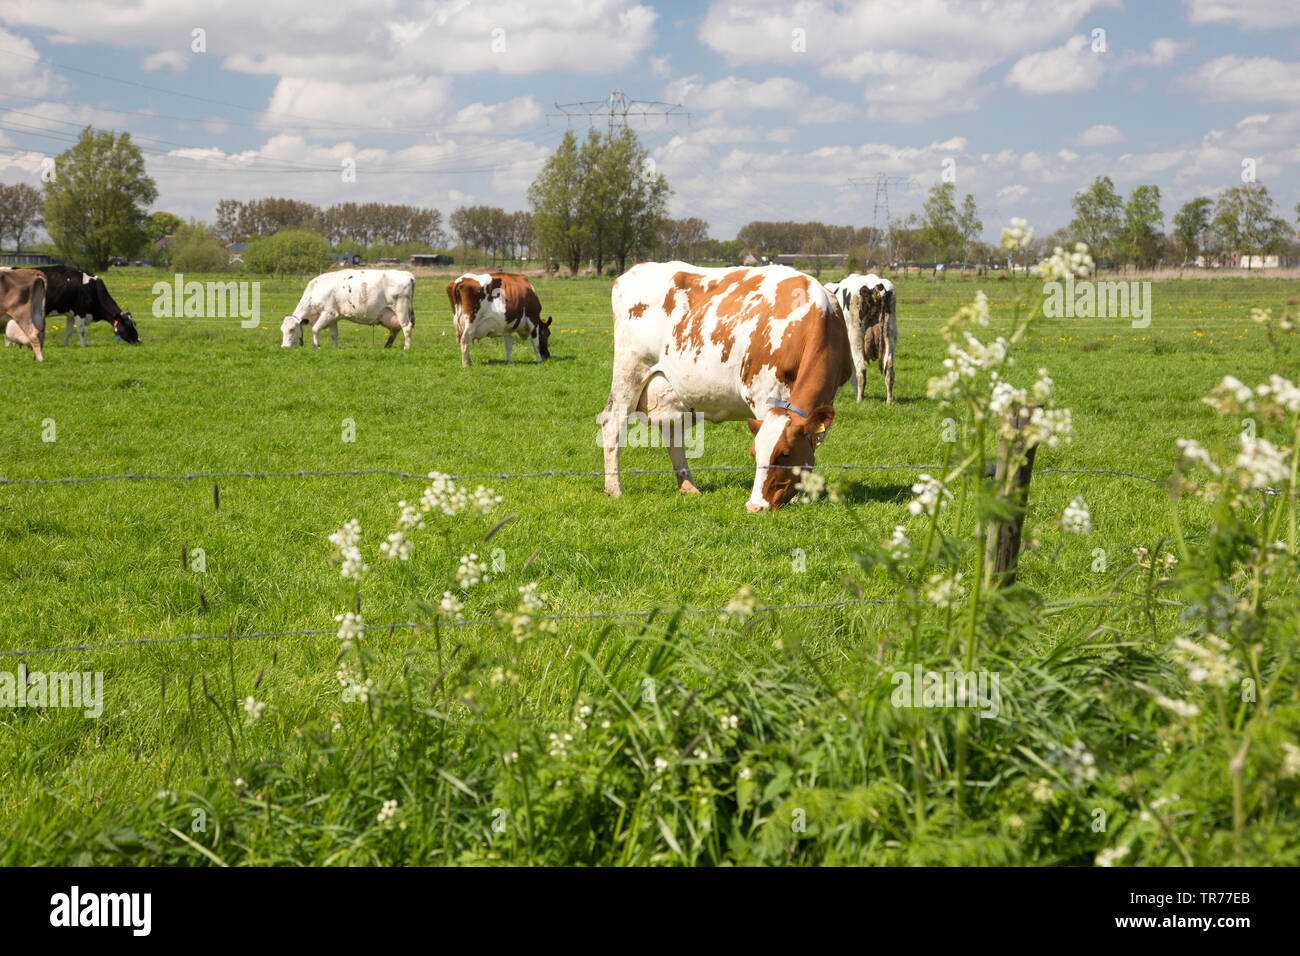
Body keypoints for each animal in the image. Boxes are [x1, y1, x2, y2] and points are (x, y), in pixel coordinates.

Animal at [280, 269, 416, 349]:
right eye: (282, 330)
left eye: (292, 329)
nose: (284, 347)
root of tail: (407, 274)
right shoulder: (334, 318)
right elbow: (334, 335)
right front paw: (334, 349)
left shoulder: (329, 313)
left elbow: (315, 329)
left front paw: (316, 346)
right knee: (395, 330)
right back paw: (387, 347)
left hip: (400, 308)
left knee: (407, 327)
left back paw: (406, 348)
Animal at [601, 262, 852, 513]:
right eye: (754, 453)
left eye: (785, 454)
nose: (754, 506)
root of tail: (637, 268)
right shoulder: (762, 395)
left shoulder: (827, 401)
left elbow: (812, 445)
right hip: (629, 372)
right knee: (612, 423)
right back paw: (614, 489)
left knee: (672, 433)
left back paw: (688, 486)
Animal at [824, 273, 896, 404]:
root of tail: (877, 285)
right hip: (890, 335)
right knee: (889, 369)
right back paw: (889, 401)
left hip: (855, 336)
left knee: (861, 369)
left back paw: (859, 400)